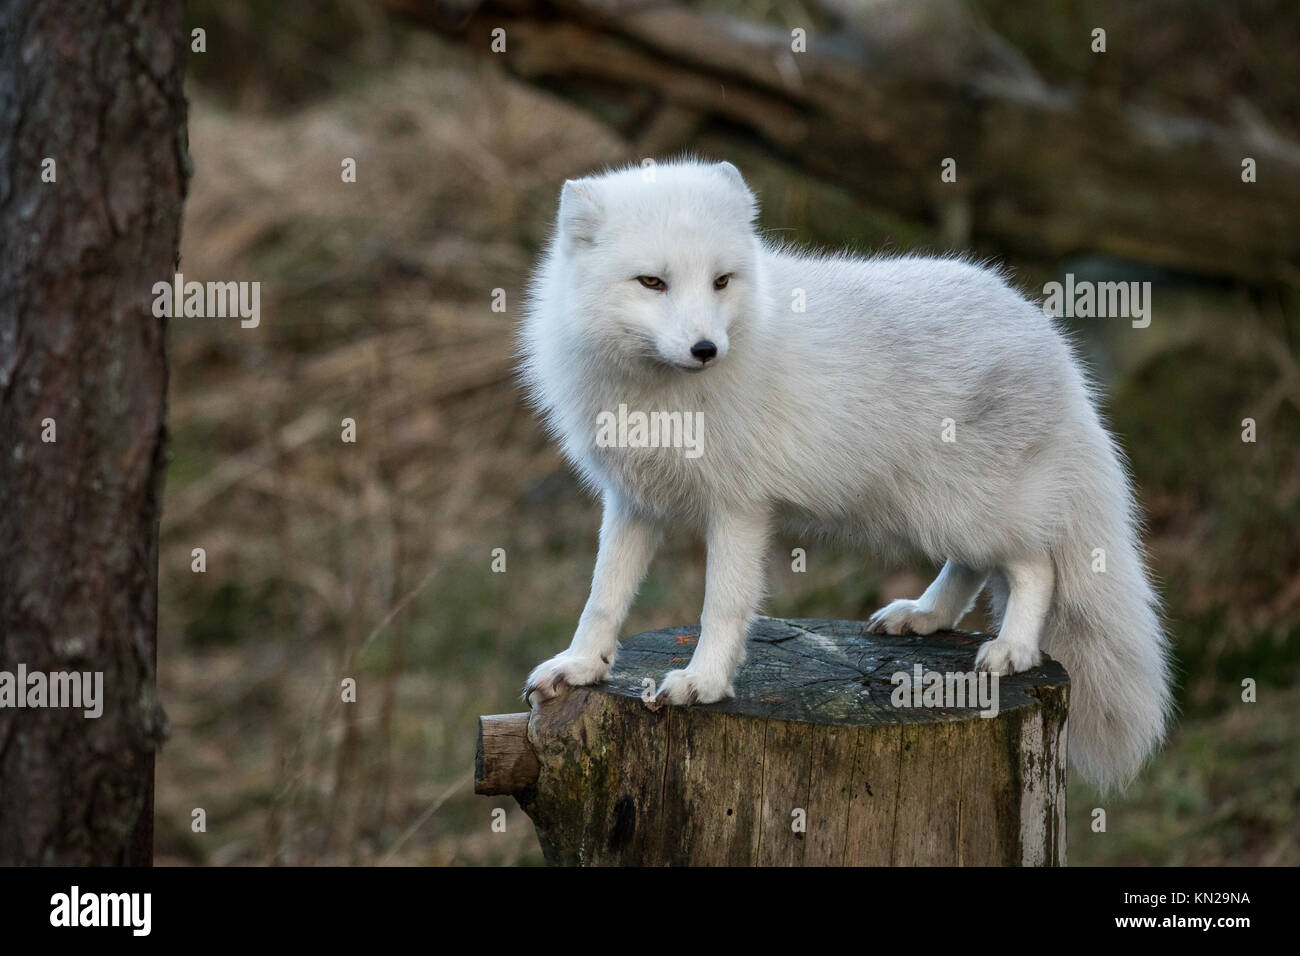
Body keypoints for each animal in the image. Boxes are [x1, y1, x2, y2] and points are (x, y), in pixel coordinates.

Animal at [519, 157, 1173, 792]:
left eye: (721, 281)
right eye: (652, 283)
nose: (707, 349)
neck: (657, 396)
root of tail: (1054, 341)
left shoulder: (739, 506)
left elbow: (722, 605)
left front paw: (703, 683)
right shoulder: (632, 500)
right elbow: (602, 597)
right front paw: (581, 666)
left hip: (966, 507)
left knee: (1036, 565)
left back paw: (1012, 647)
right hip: (933, 510)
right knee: (976, 567)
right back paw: (926, 615)